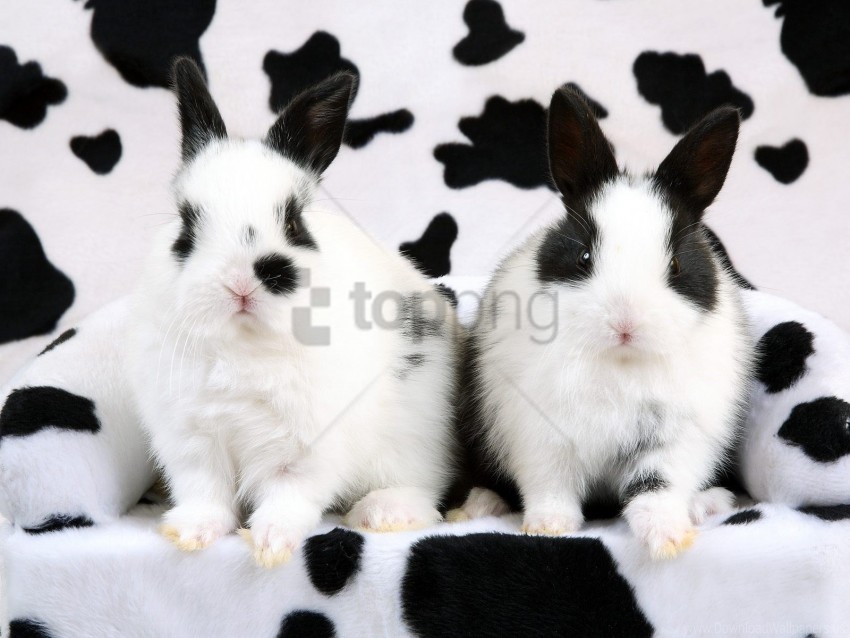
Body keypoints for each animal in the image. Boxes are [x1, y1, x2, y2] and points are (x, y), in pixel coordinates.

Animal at [127, 58, 460, 568]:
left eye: (293, 222)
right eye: (187, 224)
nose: (242, 281)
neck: (243, 345)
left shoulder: (304, 447)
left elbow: (290, 493)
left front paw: (270, 543)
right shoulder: (192, 441)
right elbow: (205, 492)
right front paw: (191, 533)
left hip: (414, 439)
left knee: (422, 489)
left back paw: (384, 513)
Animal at [452, 85, 755, 560]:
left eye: (675, 265)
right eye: (583, 257)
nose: (625, 323)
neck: (619, 360)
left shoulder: (673, 439)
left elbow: (657, 487)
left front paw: (669, 539)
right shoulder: (540, 434)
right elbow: (551, 486)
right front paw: (547, 527)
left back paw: (709, 503)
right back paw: (480, 504)